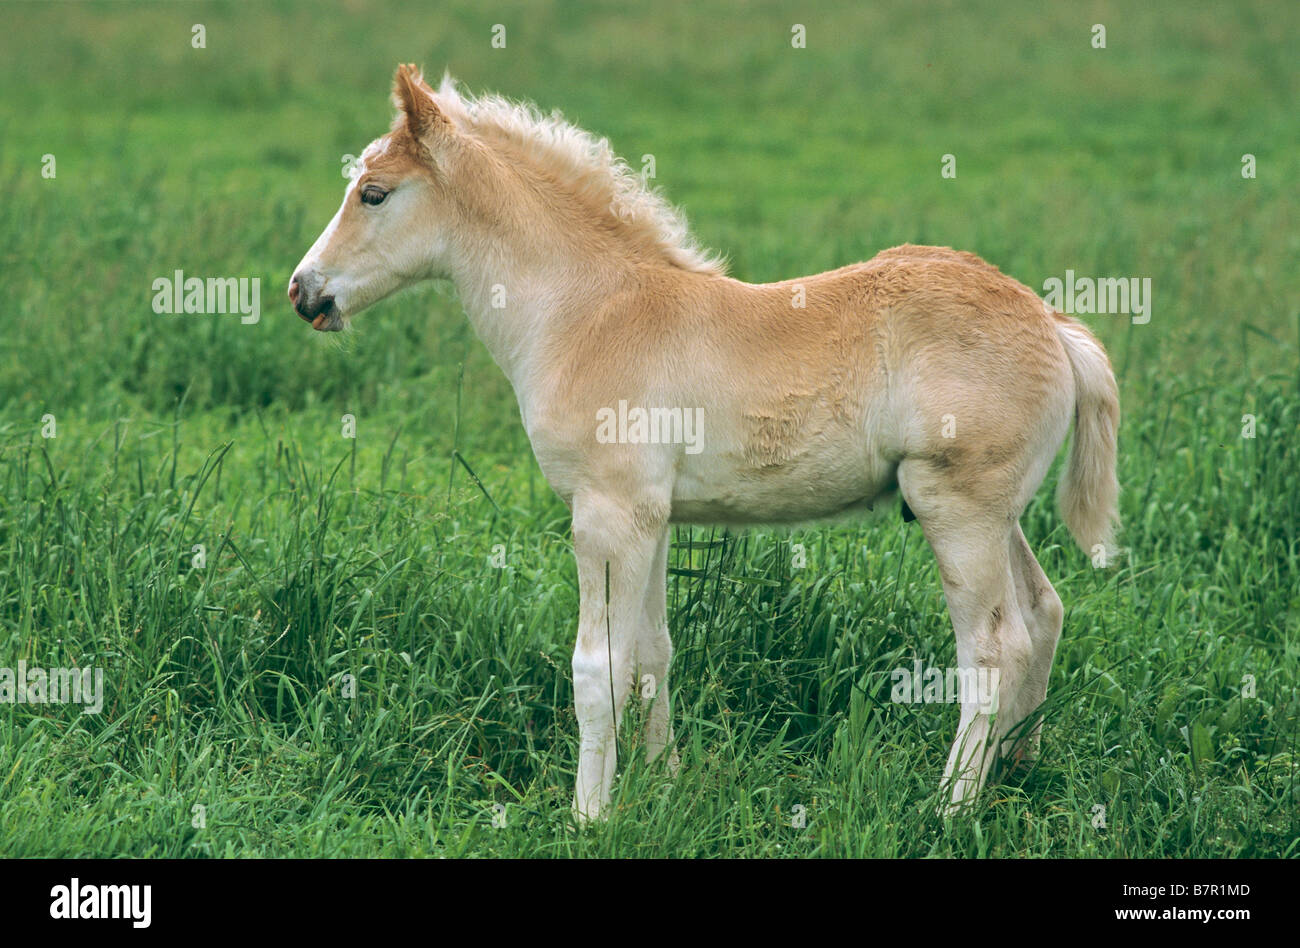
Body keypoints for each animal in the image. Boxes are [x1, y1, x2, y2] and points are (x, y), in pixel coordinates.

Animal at [289, 65, 1120, 821]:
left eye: (373, 193)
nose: (303, 291)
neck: (586, 313)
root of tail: (1052, 324)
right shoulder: (653, 517)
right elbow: (652, 654)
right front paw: (665, 784)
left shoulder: (607, 513)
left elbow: (598, 668)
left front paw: (589, 817)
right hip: (995, 515)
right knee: (1043, 614)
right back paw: (1017, 771)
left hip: (958, 510)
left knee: (994, 648)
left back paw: (950, 807)